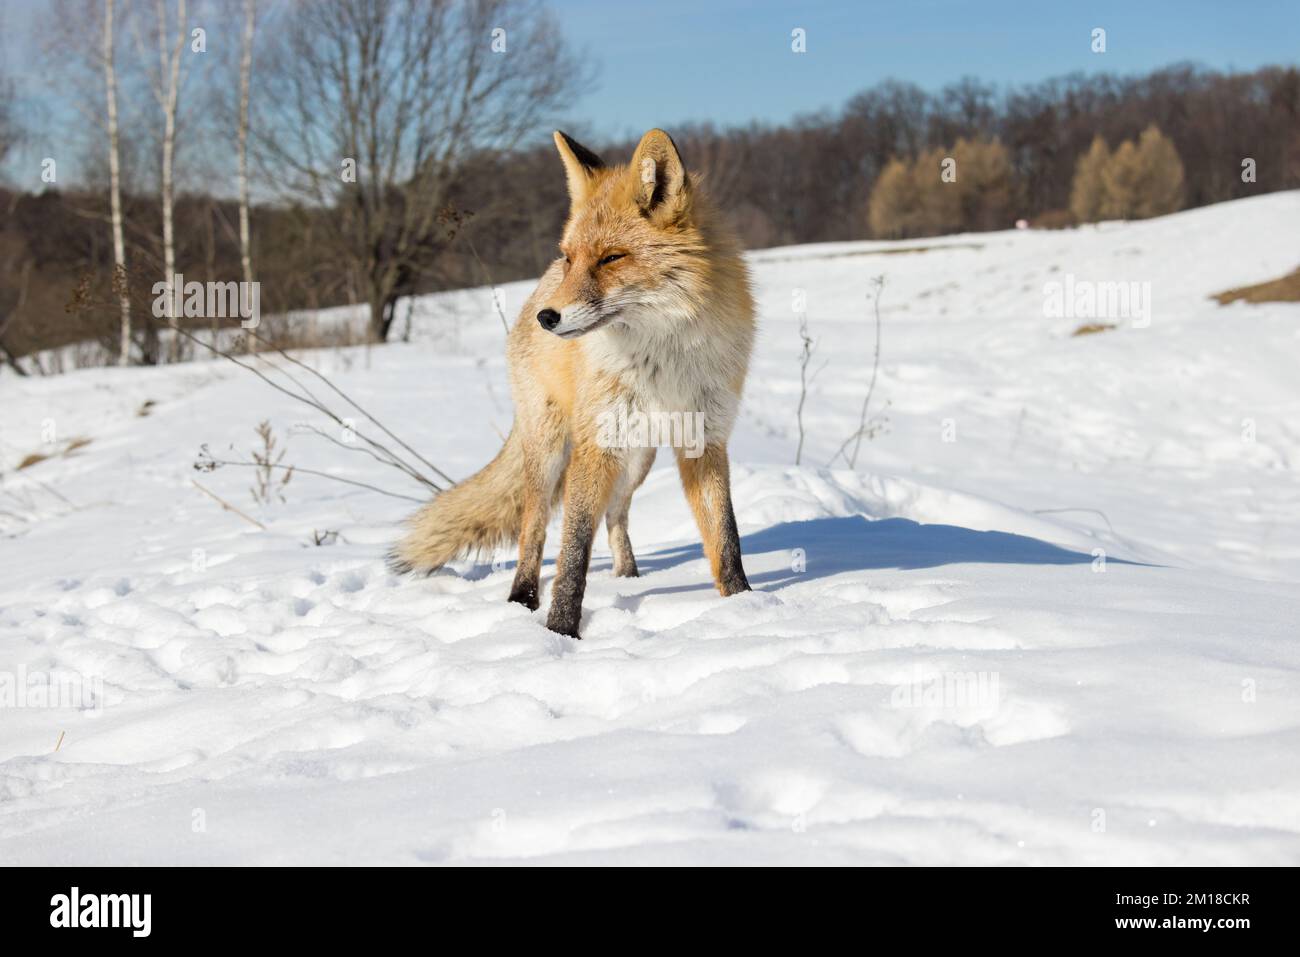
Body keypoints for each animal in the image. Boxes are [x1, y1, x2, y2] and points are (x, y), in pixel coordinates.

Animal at [390, 128, 754, 639]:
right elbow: (573, 551)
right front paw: (560, 630)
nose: (548, 319)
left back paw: (628, 577)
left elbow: (725, 539)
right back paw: (521, 599)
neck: (663, 357)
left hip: (636, 459)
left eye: (612, 258)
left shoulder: (705, 438)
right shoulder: (595, 446)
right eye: (571, 257)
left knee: (616, 515)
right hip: (553, 452)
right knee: (535, 528)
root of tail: (534, 293)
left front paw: (746, 607)